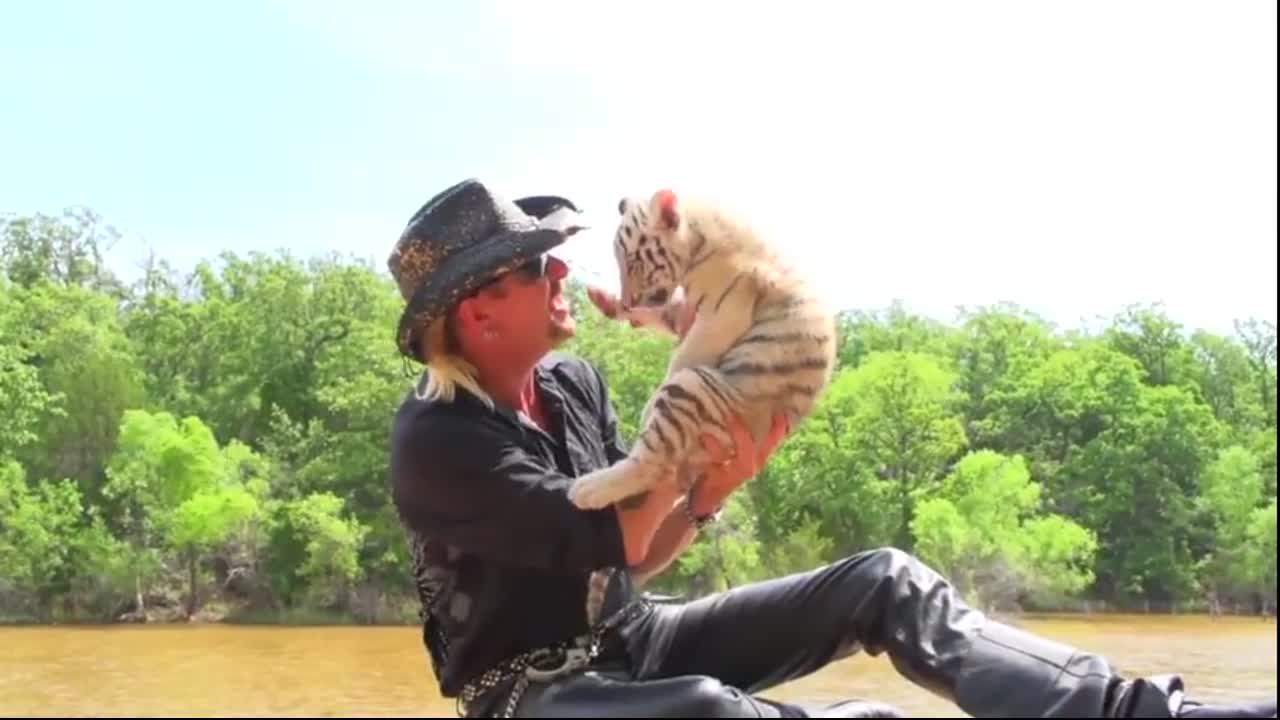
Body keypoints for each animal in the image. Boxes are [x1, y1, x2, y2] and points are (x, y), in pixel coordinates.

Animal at [567, 187, 838, 514]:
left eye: (633, 263)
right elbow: (666, 311)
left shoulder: (721, 317)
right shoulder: (688, 310)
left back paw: (588, 489)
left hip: (693, 390)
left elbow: (682, 357)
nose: (628, 301)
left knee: (651, 463)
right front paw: (610, 302)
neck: (695, 243)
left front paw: (649, 406)